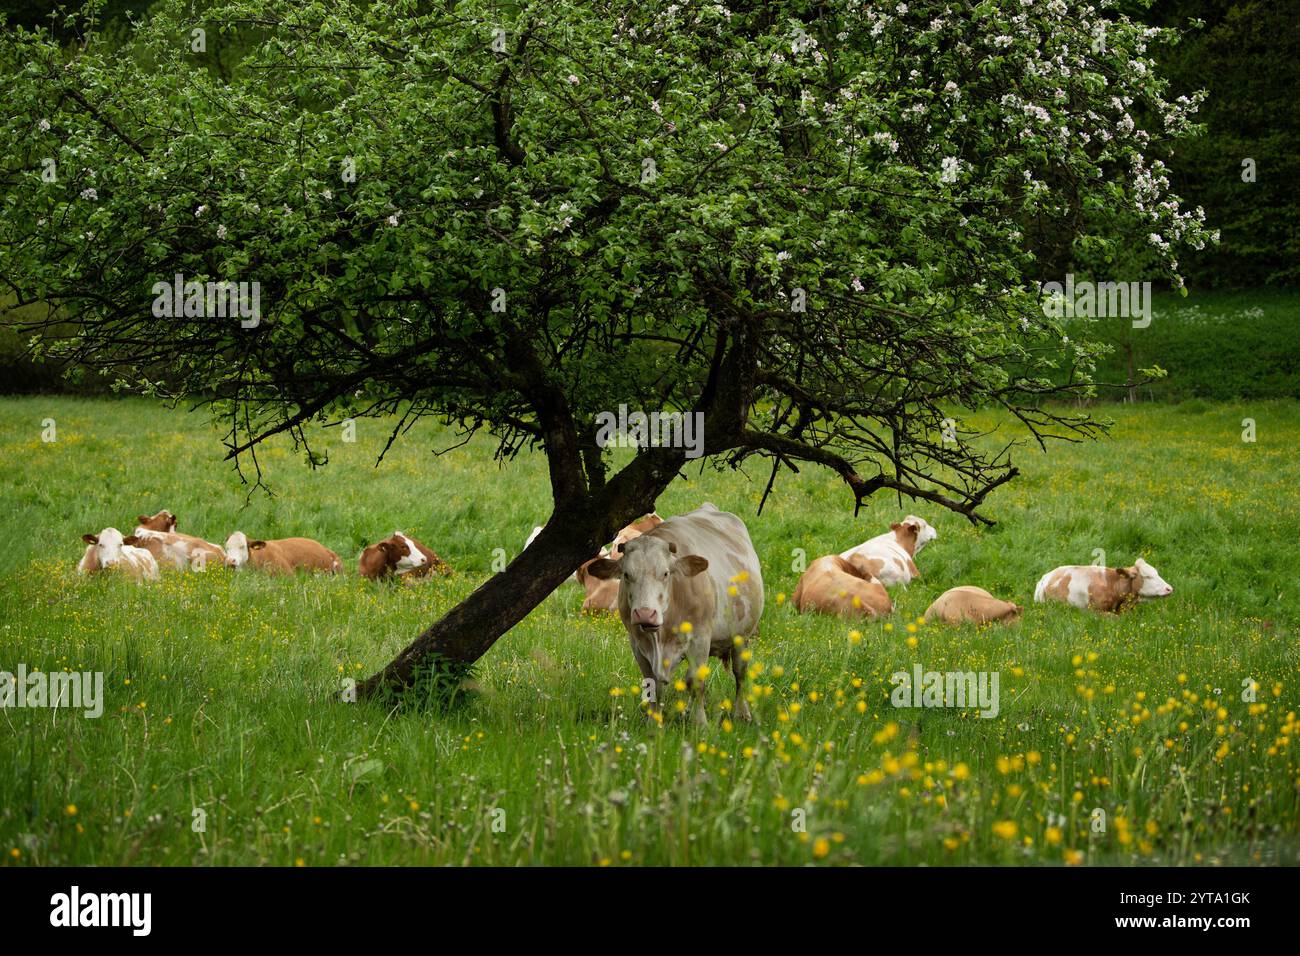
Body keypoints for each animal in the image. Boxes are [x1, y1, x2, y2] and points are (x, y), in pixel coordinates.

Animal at [585, 503, 763, 724]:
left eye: (665, 573)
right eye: (626, 575)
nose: (645, 614)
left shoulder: (700, 638)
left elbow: (697, 682)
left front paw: (700, 723)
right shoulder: (637, 644)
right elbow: (653, 685)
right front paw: (654, 723)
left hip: (741, 636)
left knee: (740, 673)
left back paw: (742, 713)